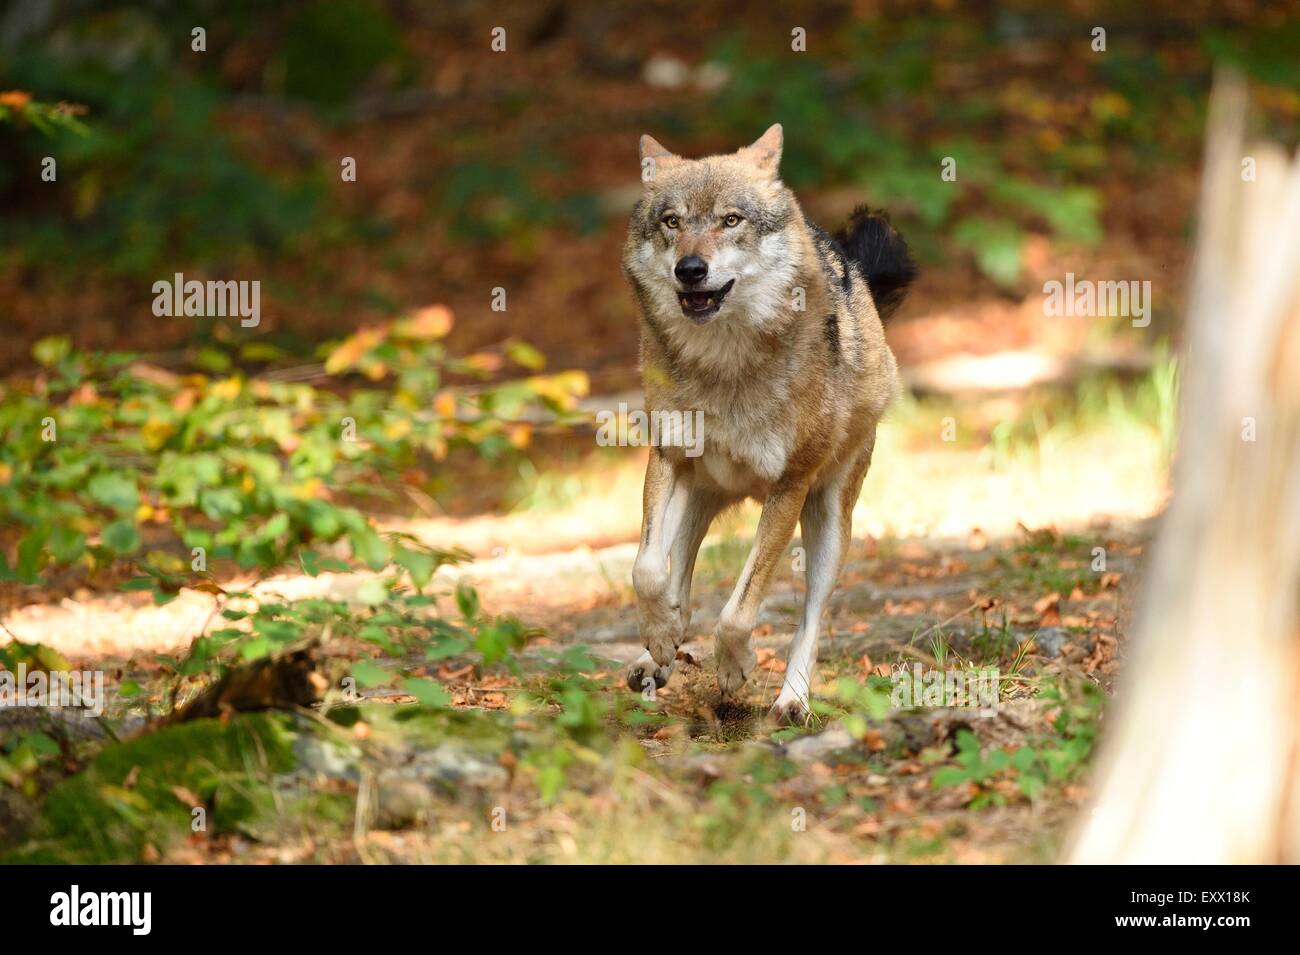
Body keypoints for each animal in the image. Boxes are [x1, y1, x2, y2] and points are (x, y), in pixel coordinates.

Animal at [621, 124, 917, 721]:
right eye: (672, 222)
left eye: (731, 220)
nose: (690, 270)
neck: (723, 368)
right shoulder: (666, 457)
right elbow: (646, 570)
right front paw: (660, 637)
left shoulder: (789, 487)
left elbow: (738, 610)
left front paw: (733, 668)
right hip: (698, 493)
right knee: (675, 573)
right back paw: (657, 653)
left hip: (829, 522)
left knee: (811, 618)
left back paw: (791, 700)